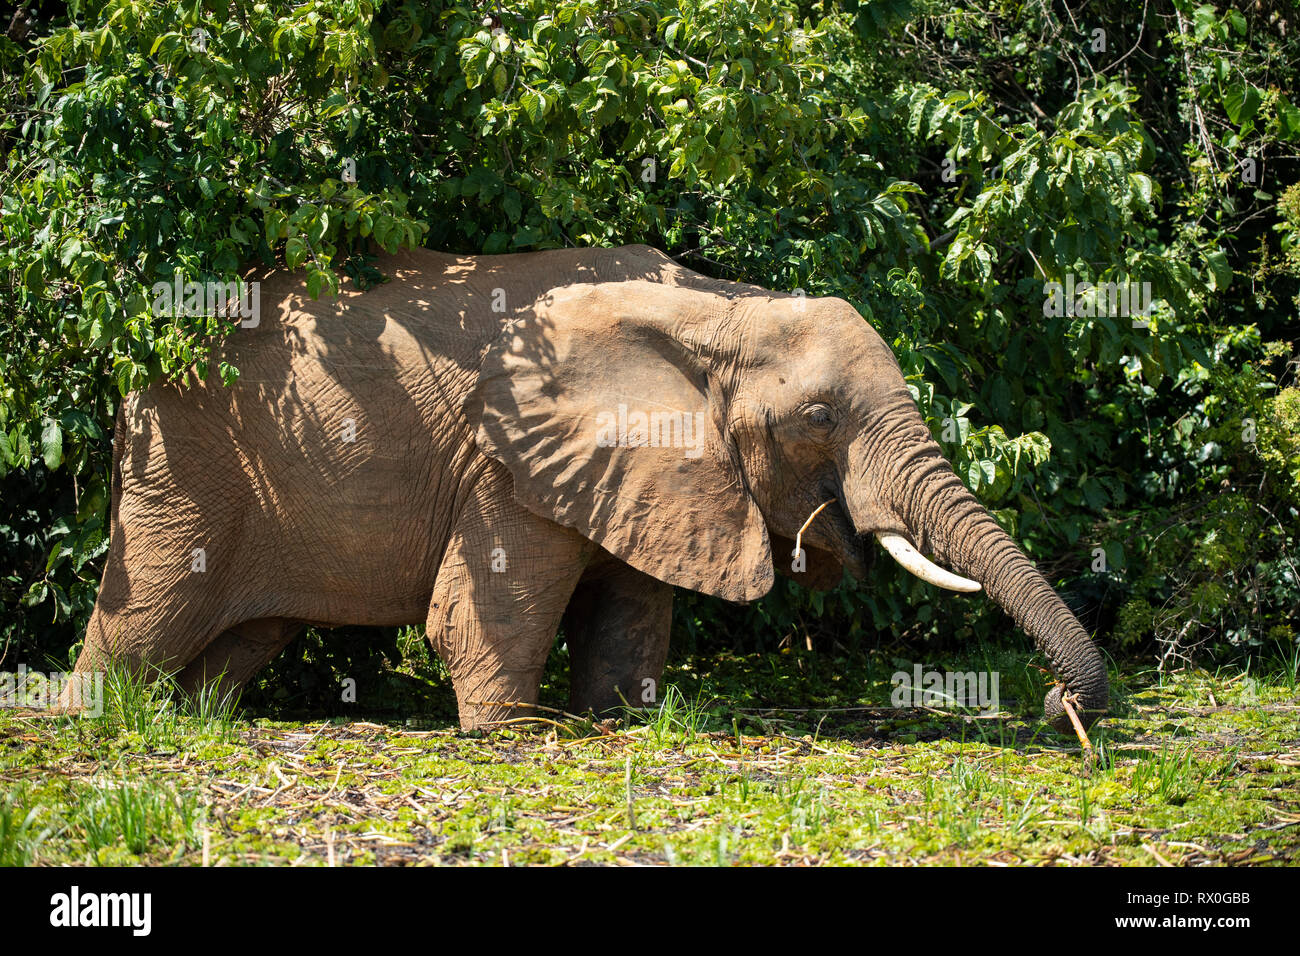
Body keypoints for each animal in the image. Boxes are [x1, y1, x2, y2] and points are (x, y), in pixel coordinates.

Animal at [68, 244, 1108, 732]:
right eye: (817, 418)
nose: (1059, 704)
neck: (713, 309)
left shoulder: (658, 471)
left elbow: (631, 617)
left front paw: (619, 720)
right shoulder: (510, 460)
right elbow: (478, 614)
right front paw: (510, 737)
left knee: (237, 644)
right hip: (185, 463)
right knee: (143, 619)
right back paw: (89, 722)